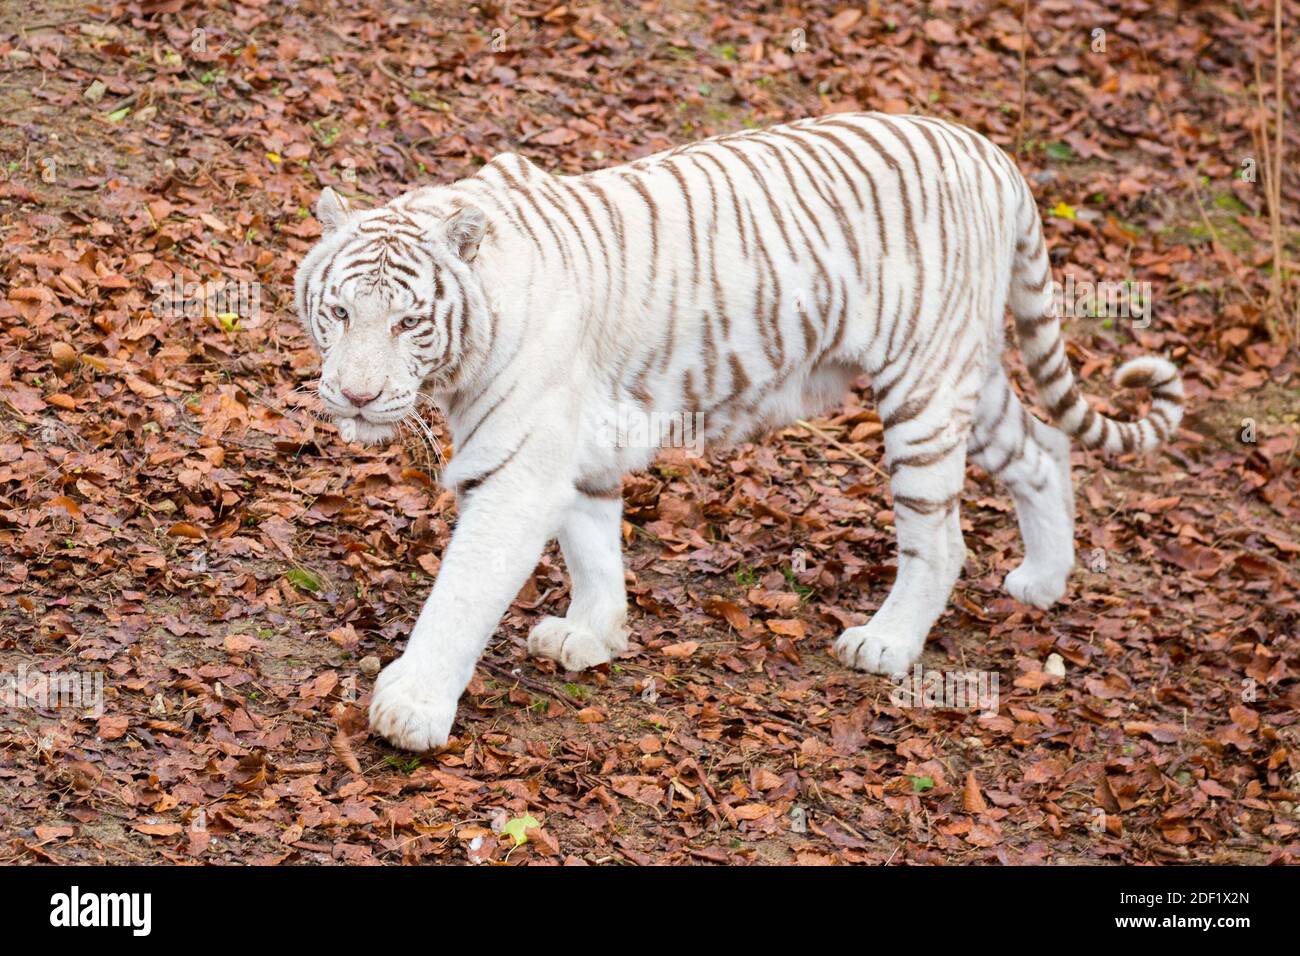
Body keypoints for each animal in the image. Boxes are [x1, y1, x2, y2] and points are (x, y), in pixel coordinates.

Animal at [294, 112, 1184, 752]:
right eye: (339, 311)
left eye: (408, 322)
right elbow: (592, 543)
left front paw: (410, 707)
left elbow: (463, 591)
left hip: (924, 389)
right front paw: (594, 634)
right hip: (967, 370)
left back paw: (887, 643)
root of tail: (993, 154)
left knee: (943, 538)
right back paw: (1043, 581)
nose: (356, 395)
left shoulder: (517, 469)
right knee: (1043, 449)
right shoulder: (578, 446)